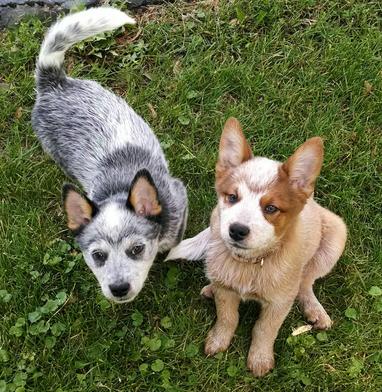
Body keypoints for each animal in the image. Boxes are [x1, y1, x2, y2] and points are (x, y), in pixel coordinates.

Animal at [31, 8, 188, 304]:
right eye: (98, 256)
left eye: (136, 249)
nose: (118, 289)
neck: (120, 188)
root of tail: (53, 82)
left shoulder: (180, 197)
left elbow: (175, 240)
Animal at [166, 118, 346, 376]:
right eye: (232, 197)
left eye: (271, 208)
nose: (237, 230)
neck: (250, 263)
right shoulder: (227, 292)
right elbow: (227, 316)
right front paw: (219, 340)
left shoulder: (279, 303)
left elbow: (264, 329)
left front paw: (260, 358)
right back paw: (210, 288)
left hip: (335, 236)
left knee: (305, 282)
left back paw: (314, 310)